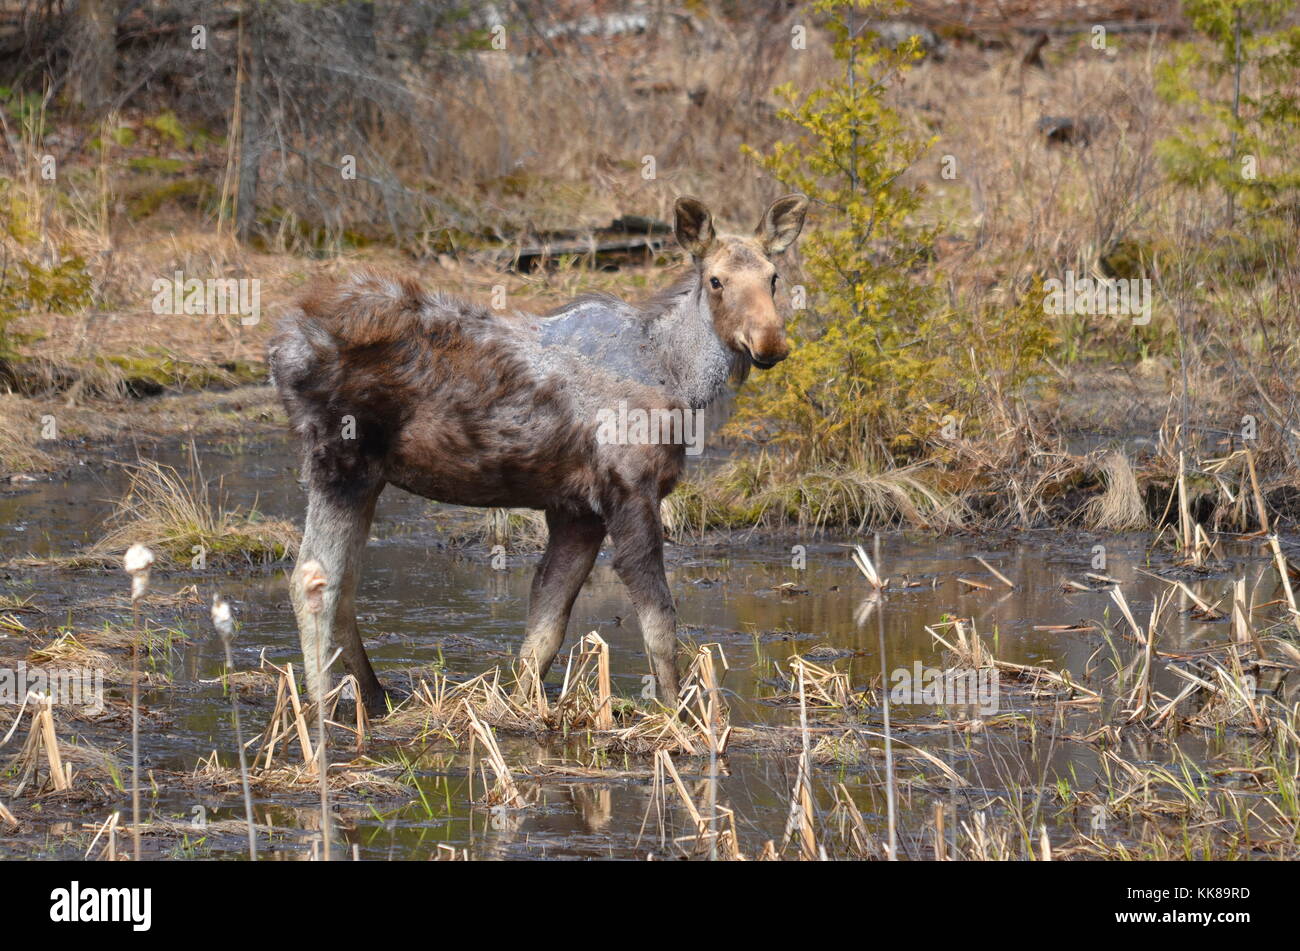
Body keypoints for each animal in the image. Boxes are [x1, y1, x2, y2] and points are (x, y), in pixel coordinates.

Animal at [269, 193, 809, 717]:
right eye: (716, 280)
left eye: (774, 277)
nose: (770, 341)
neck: (679, 378)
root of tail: (279, 348)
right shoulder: (630, 492)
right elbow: (659, 623)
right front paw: (678, 718)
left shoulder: (577, 511)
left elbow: (544, 631)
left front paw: (519, 709)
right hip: (340, 465)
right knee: (311, 579)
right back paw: (322, 709)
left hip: (368, 479)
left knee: (345, 584)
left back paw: (373, 695)